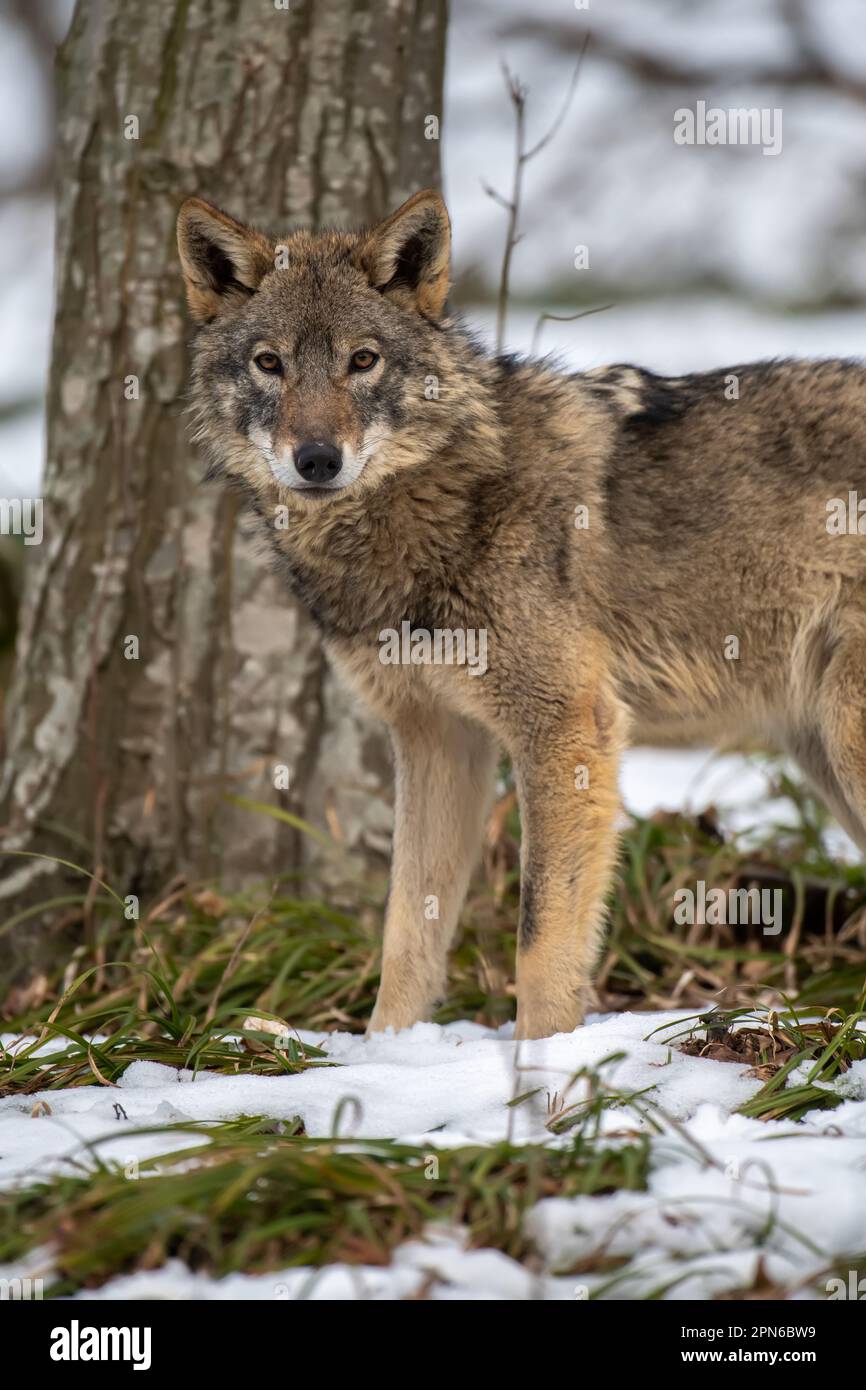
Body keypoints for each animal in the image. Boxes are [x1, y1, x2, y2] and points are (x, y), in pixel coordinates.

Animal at [177, 188, 866, 1039]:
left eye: (362, 361)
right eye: (269, 363)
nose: (316, 460)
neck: (439, 507)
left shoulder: (567, 731)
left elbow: (541, 939)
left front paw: (542, 1067)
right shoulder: (439, 740)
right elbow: (406, 932)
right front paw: (387, 1054)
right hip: (823, 751)